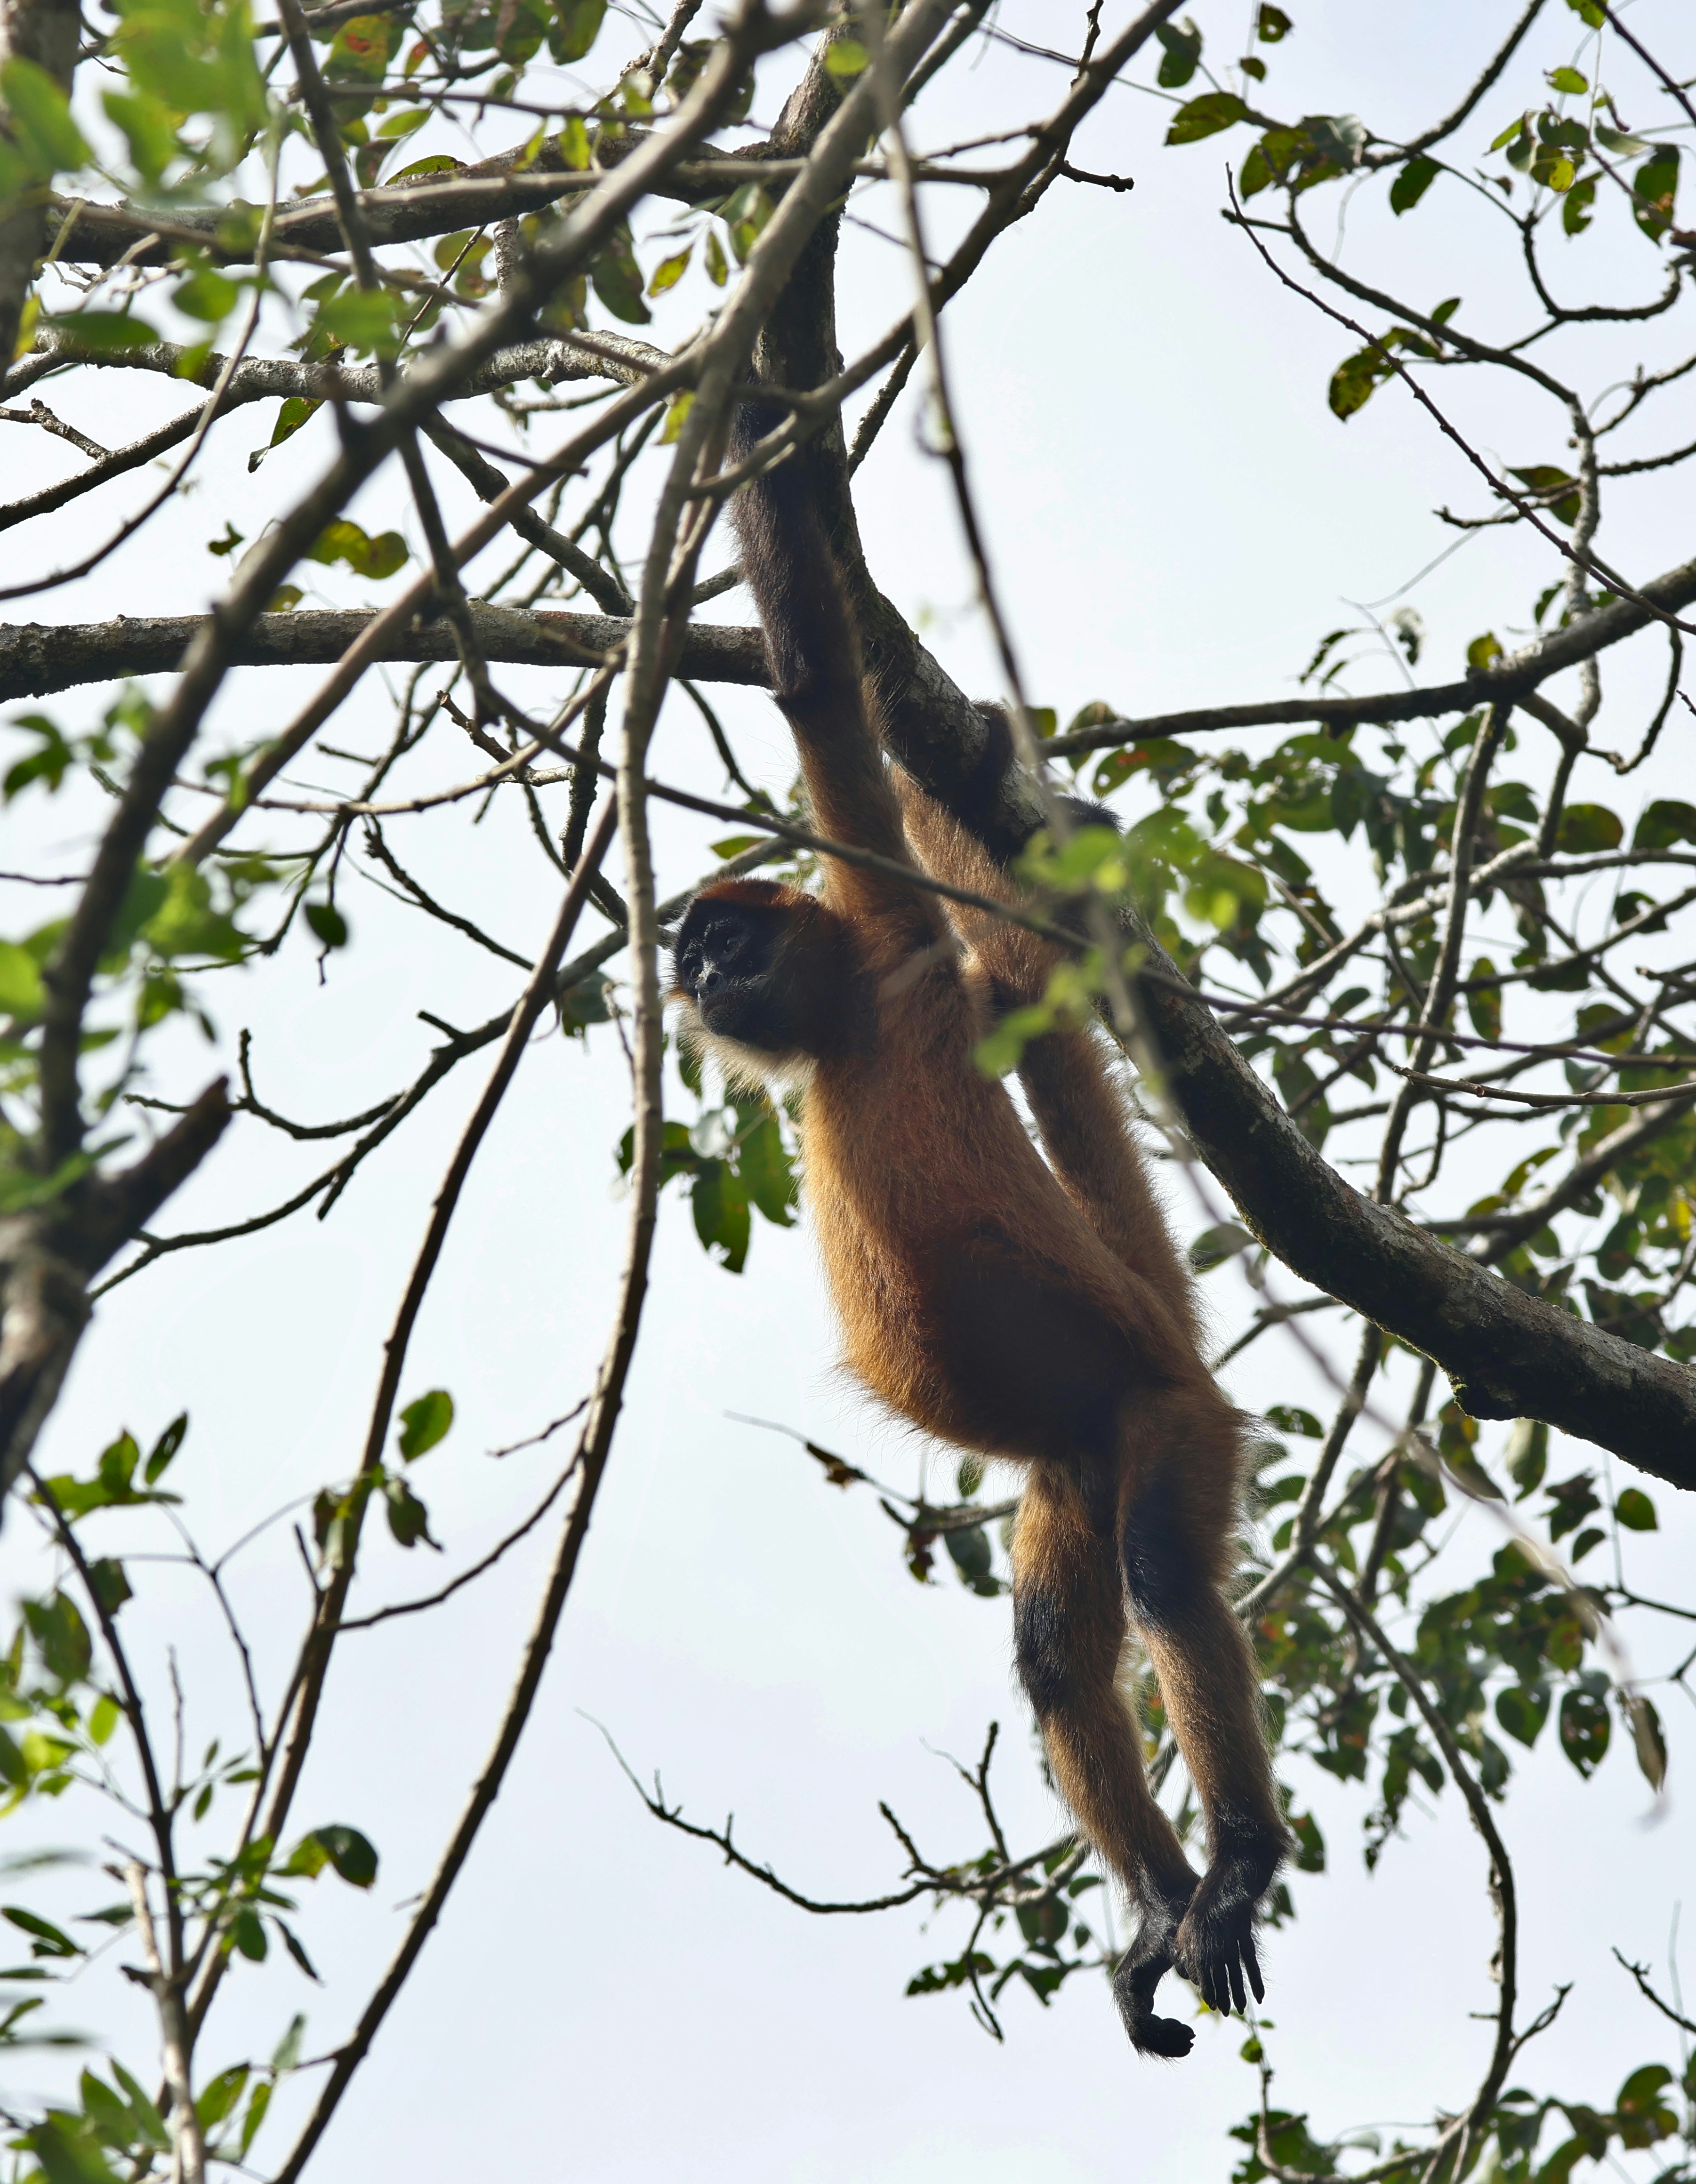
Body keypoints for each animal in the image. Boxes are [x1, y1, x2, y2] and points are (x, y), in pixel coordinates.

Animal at [668, 398, 1288, 2059]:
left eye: (725, 940)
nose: (697, 979)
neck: (841, 1033)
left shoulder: (894, 931)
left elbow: (821, 681)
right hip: (1075, 1459)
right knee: (1057, 1653)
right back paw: (1157, 1905)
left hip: (1168, 1420)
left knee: (1164, 1577)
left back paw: (1237, 1860)